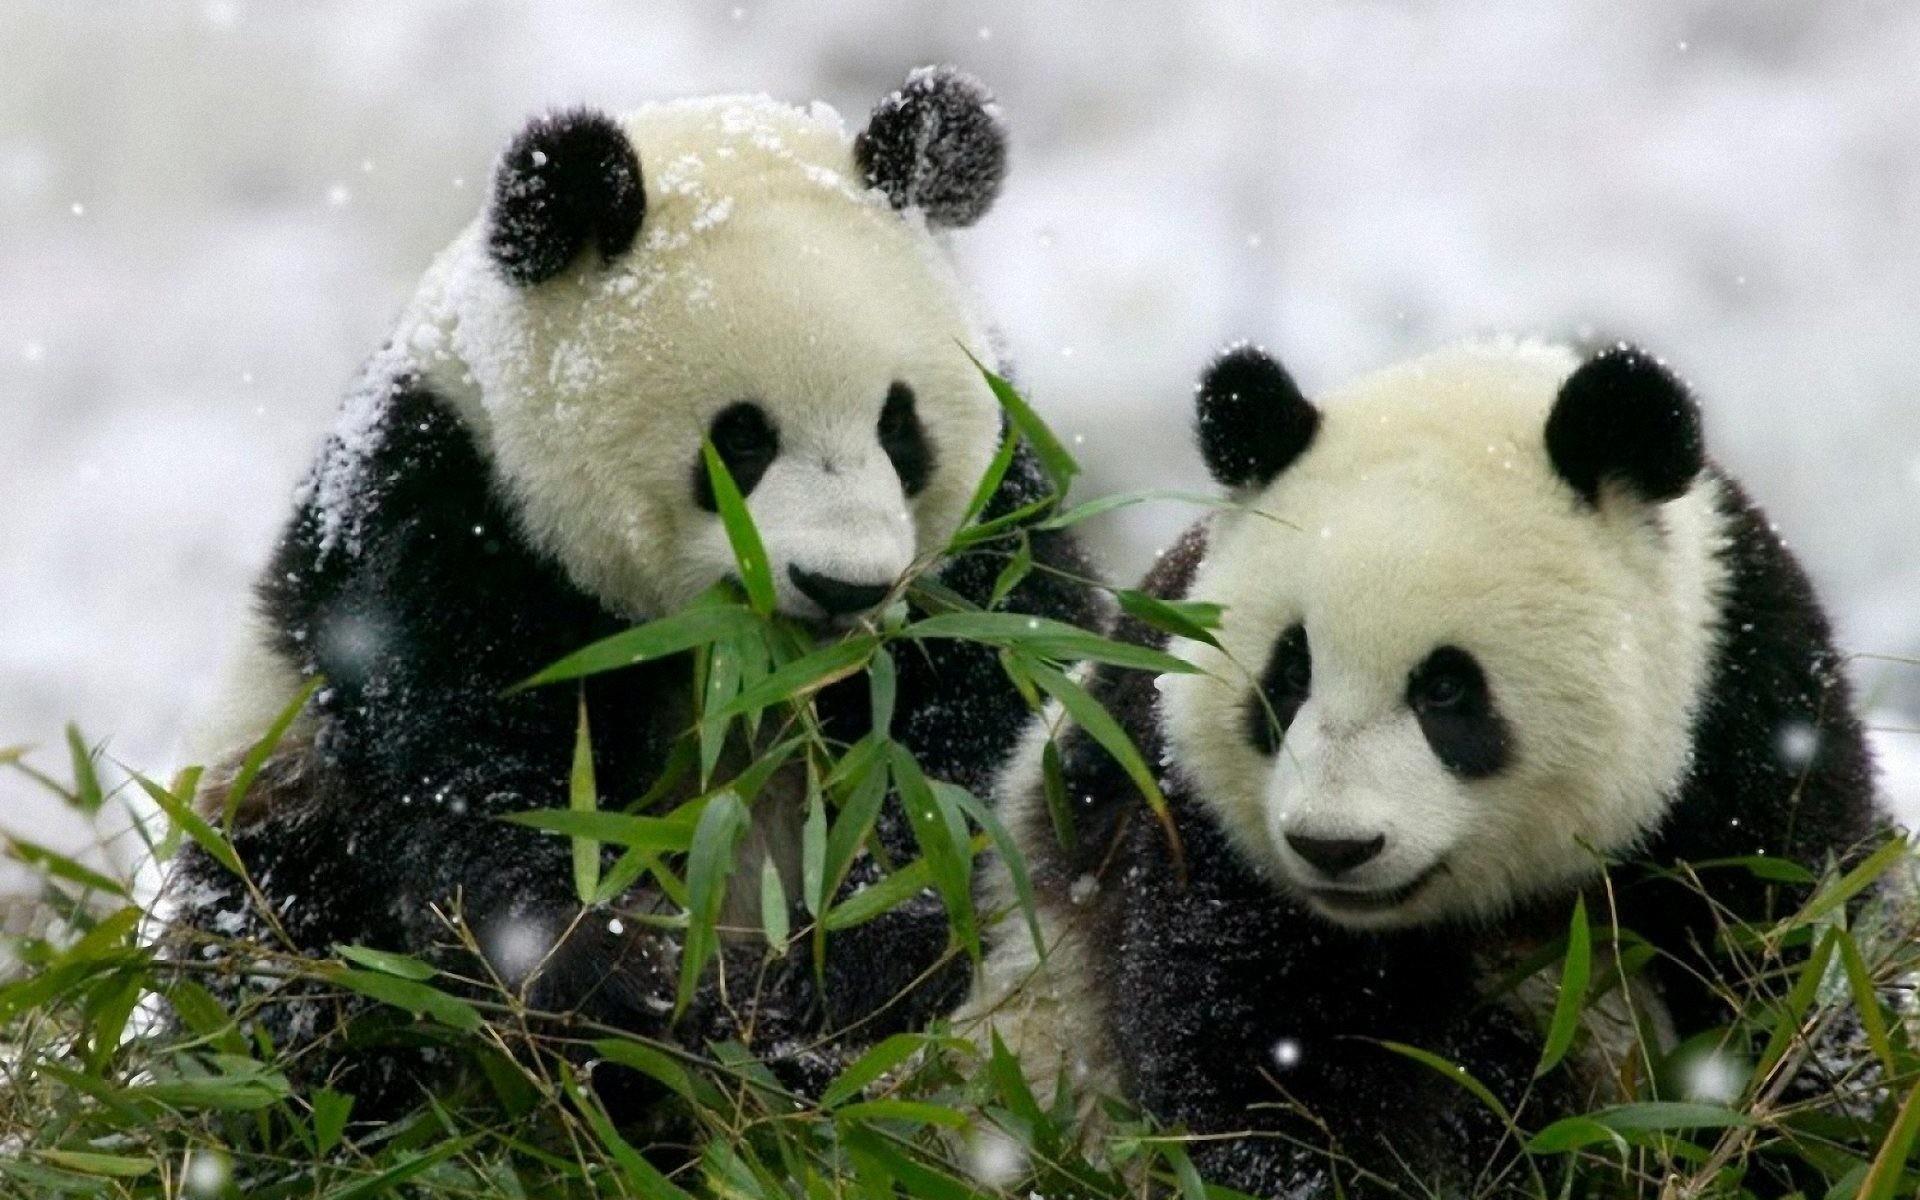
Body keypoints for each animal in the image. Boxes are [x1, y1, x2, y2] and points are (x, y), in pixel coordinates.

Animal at [164, 67, 1099, 1105]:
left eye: (901, 428)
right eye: (740, 441)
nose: (844, 585)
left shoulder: (988, 544)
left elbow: (972, 751)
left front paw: (835, 978)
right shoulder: (444, 515)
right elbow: (477, 783)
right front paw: (624, 986)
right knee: (278, 948)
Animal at [959, 337, 1903, 1196]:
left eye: (1447, 689)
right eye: (1288, 674)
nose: (1334, 846)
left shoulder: (1749, 707)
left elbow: (1793, 966)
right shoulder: (1193, 815)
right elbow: (1266, 1056)